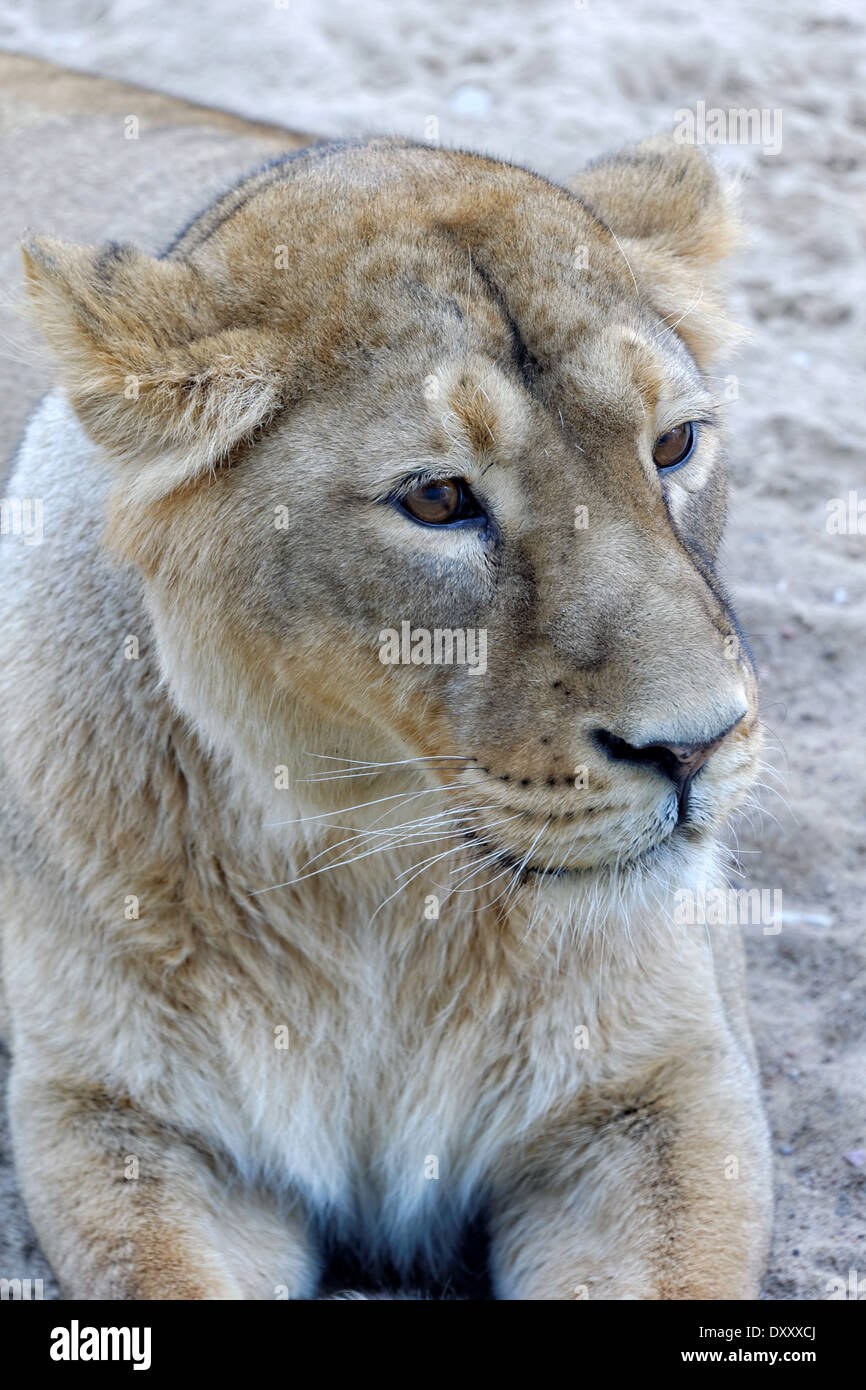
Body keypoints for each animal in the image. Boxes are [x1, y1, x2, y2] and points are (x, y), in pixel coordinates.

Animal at [0, 56, 772, 1299]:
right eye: (437, 499)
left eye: (672, 446)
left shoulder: (665, 1091)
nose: (691, 748)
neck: (381, 877)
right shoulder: (123, 1115)